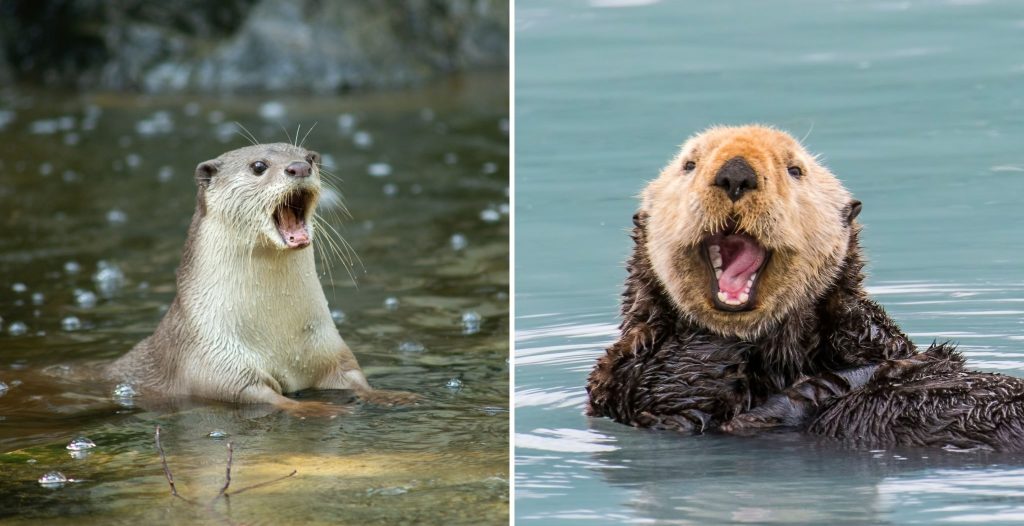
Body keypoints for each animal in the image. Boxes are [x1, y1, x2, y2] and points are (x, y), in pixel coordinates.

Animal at [106, 143, 414, 416]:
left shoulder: (329, 349)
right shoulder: (217, 363)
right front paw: (316, 408)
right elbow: (264, 397)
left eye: (309, 158)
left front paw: (393, 395)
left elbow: (354, 377)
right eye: (258, 166)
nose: (300, 167)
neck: (278, 334)